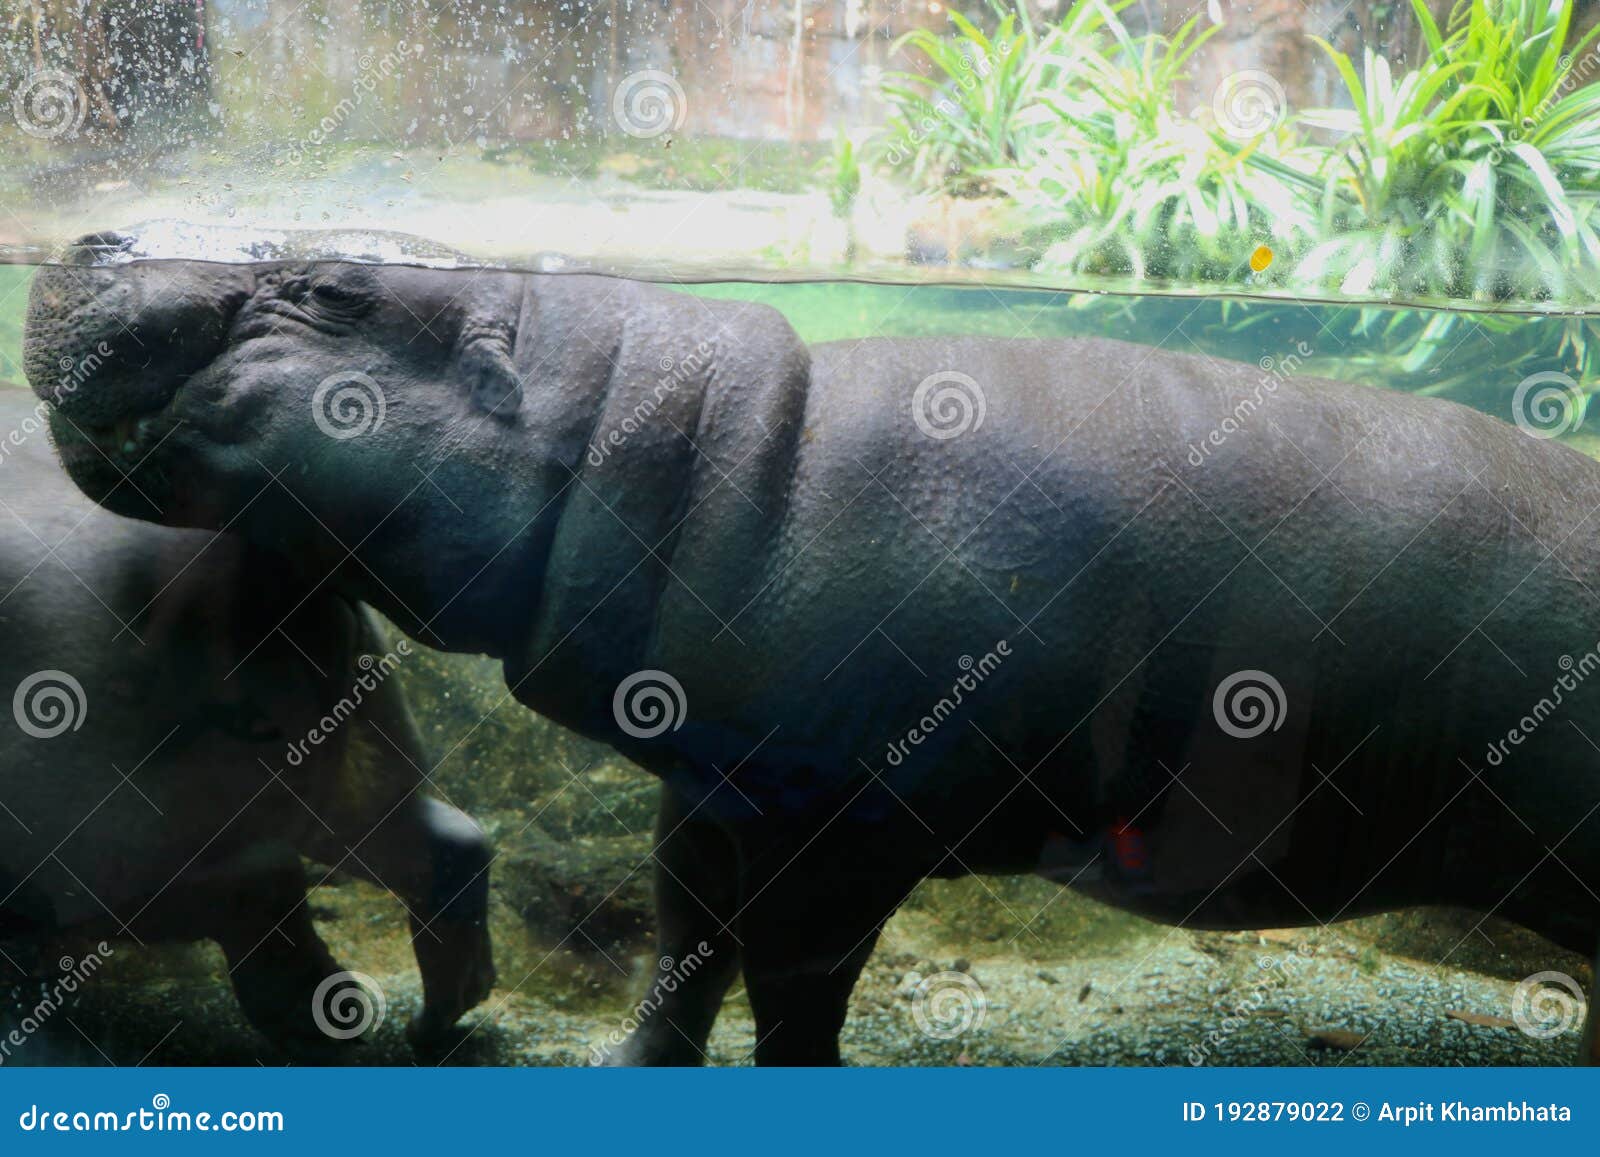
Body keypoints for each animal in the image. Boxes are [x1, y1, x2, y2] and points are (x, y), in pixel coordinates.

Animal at [0, 389, 493, 1055]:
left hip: (102, 848)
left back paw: (328, 1025)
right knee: (449, 844)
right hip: (361, 771)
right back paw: (430, 1021)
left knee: (261, 885)